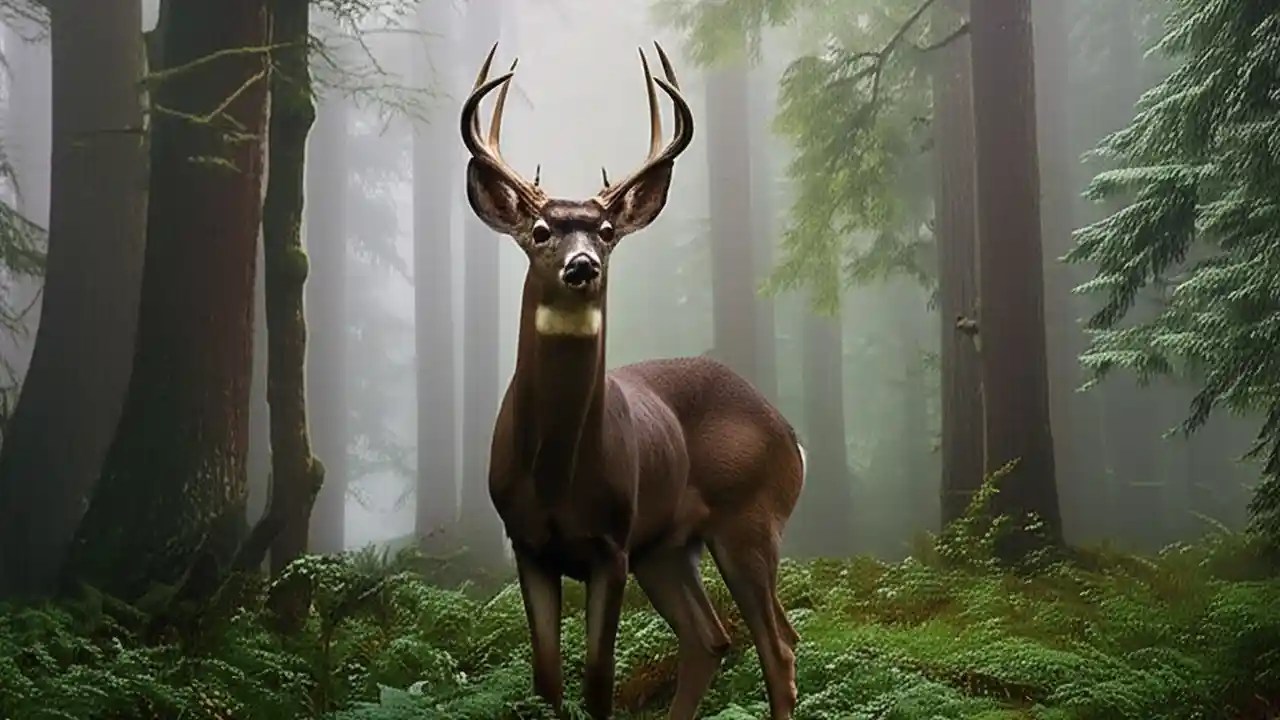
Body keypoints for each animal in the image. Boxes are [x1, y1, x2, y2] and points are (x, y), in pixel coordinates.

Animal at [459, 42, 806, 720]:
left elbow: (598, 680)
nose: (582, 266)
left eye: (606, 232)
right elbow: (548, 679)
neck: (555, 476)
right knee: (711, 638)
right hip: (668, 546)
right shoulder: (526, 543)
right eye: (540, 231)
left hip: (750, 520)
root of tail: (789, 432)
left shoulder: (612, 544)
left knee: (778, 646)